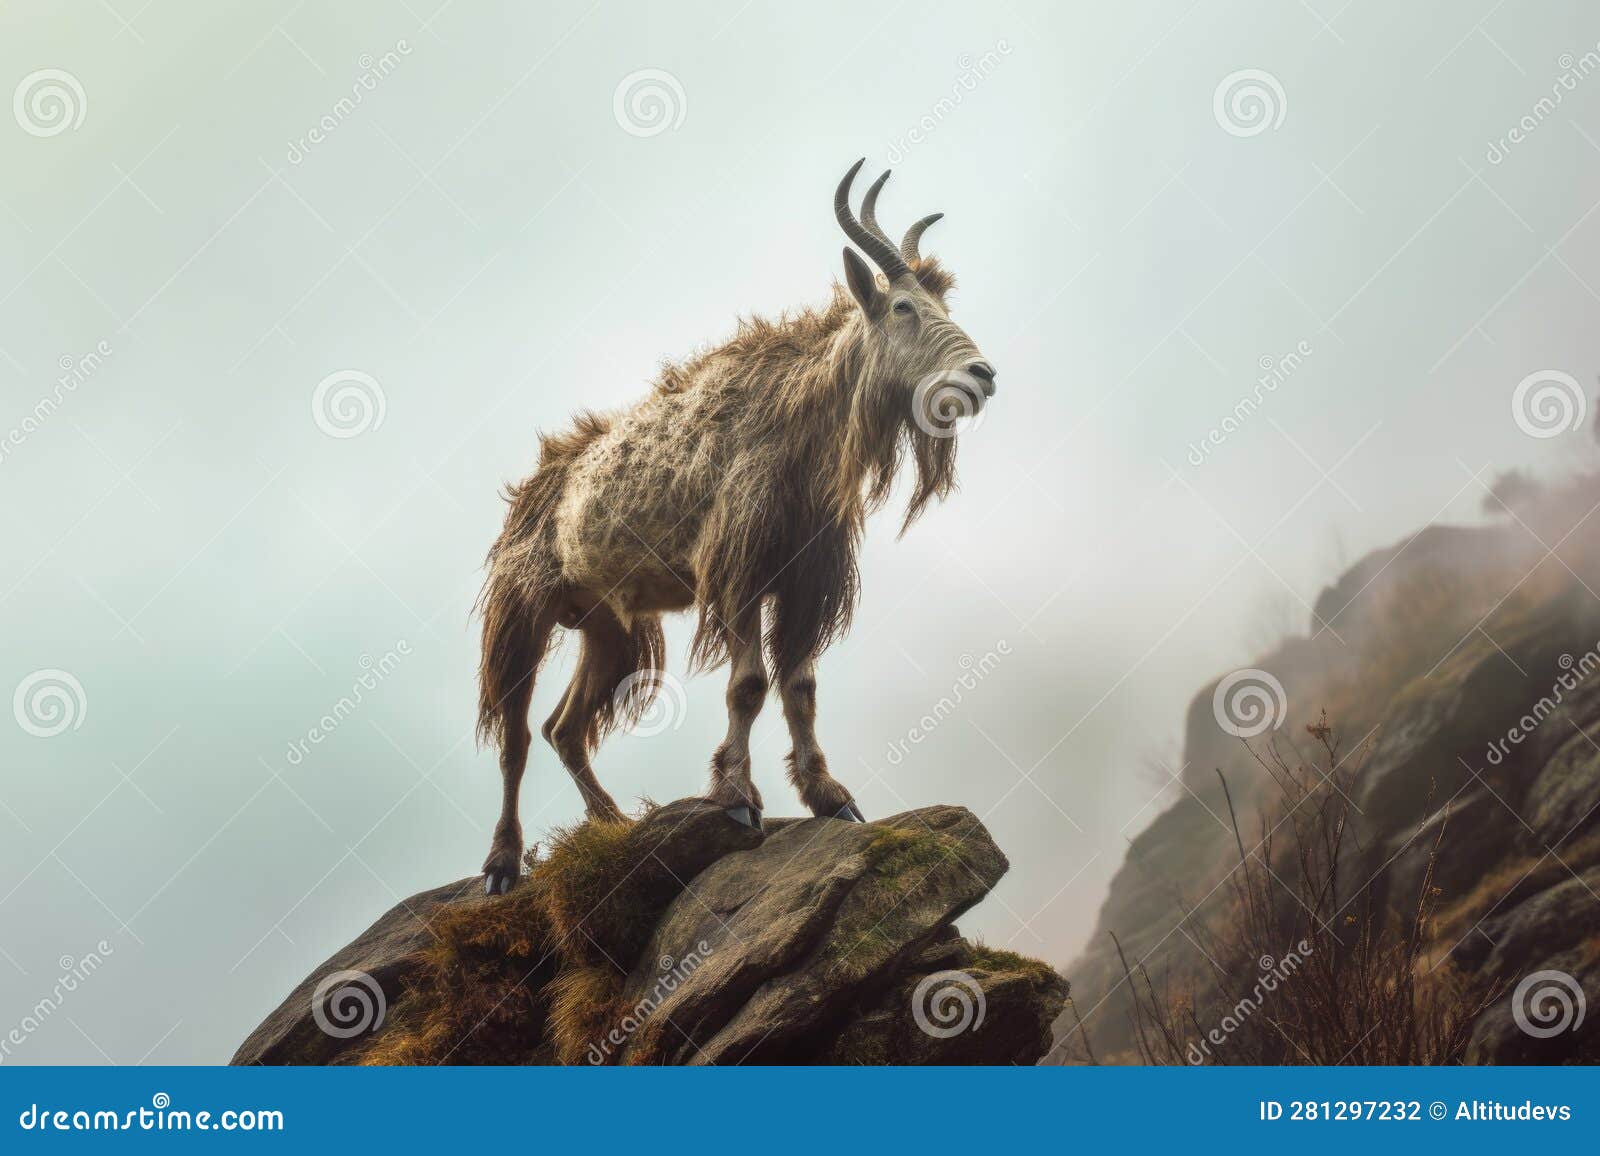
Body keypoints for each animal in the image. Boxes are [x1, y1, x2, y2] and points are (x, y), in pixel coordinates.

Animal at [474, 160, 998, 892]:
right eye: (903, 307)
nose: (982, 375)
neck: (799, 418)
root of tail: (533, 489)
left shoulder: (805, 580)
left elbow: (800, 687)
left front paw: (830, 796)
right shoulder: (740, 570)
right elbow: (748, 685)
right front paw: (737, 797)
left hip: (607, 629)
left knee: (564, 728)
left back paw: (614, 823)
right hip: (524, 612)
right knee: (517, 735)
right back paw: (502, 862)